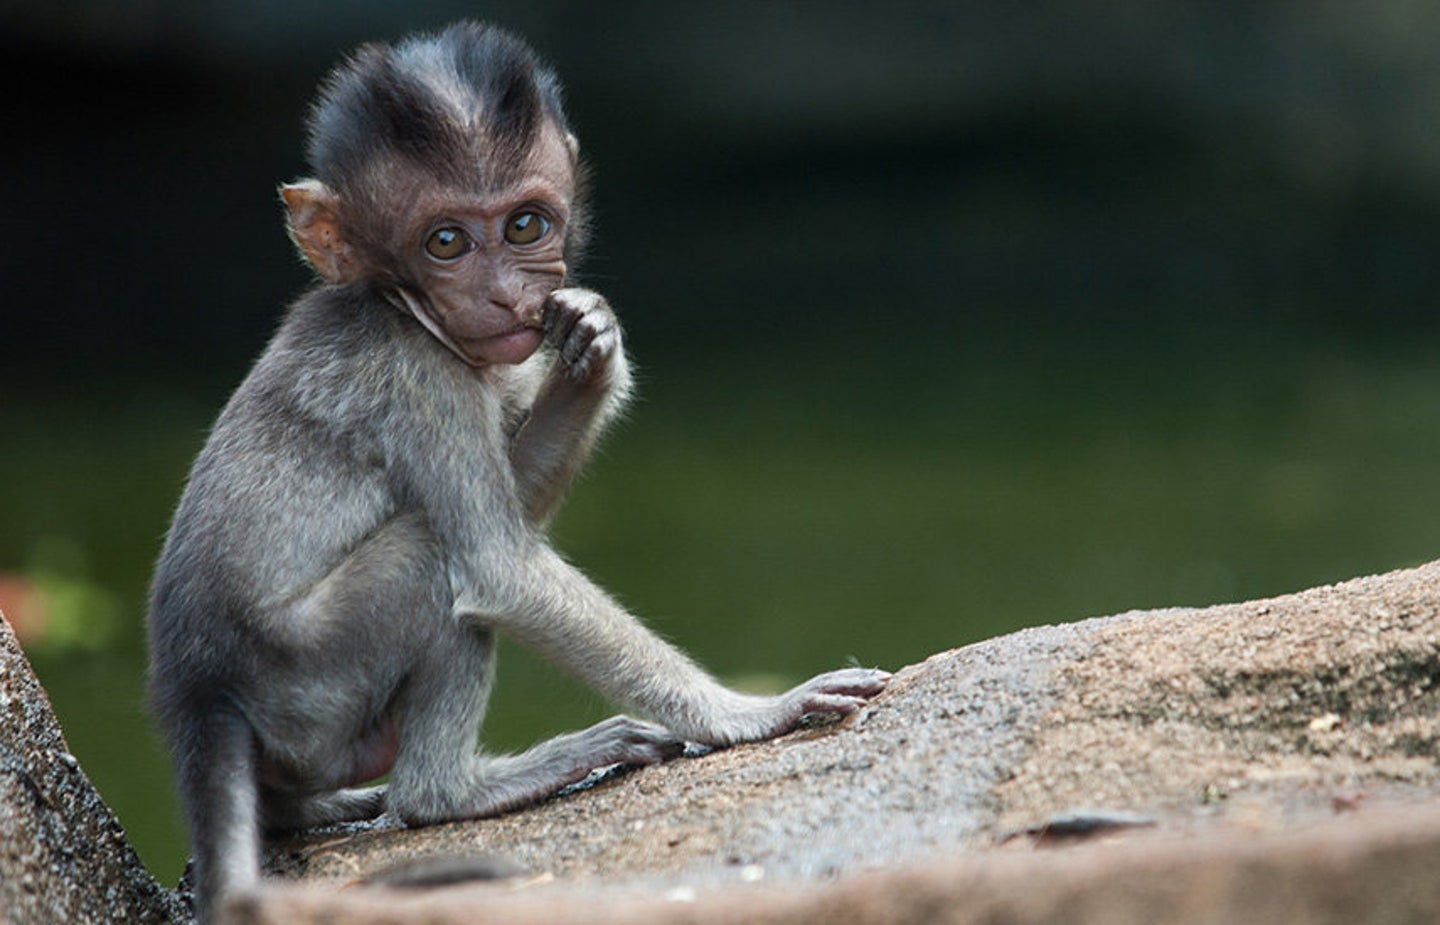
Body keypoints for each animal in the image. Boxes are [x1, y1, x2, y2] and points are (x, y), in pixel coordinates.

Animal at [145, 21, 889, 924]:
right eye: (446, 242)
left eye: (526, 224)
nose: (506, 296)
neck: (397, 305)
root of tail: (196, 693)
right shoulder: (416, 376)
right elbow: (500, 564)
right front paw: (752, 713)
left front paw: (590, 355)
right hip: (307, 675)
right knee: (432, 559)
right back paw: (456, 790)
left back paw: (304, 809)